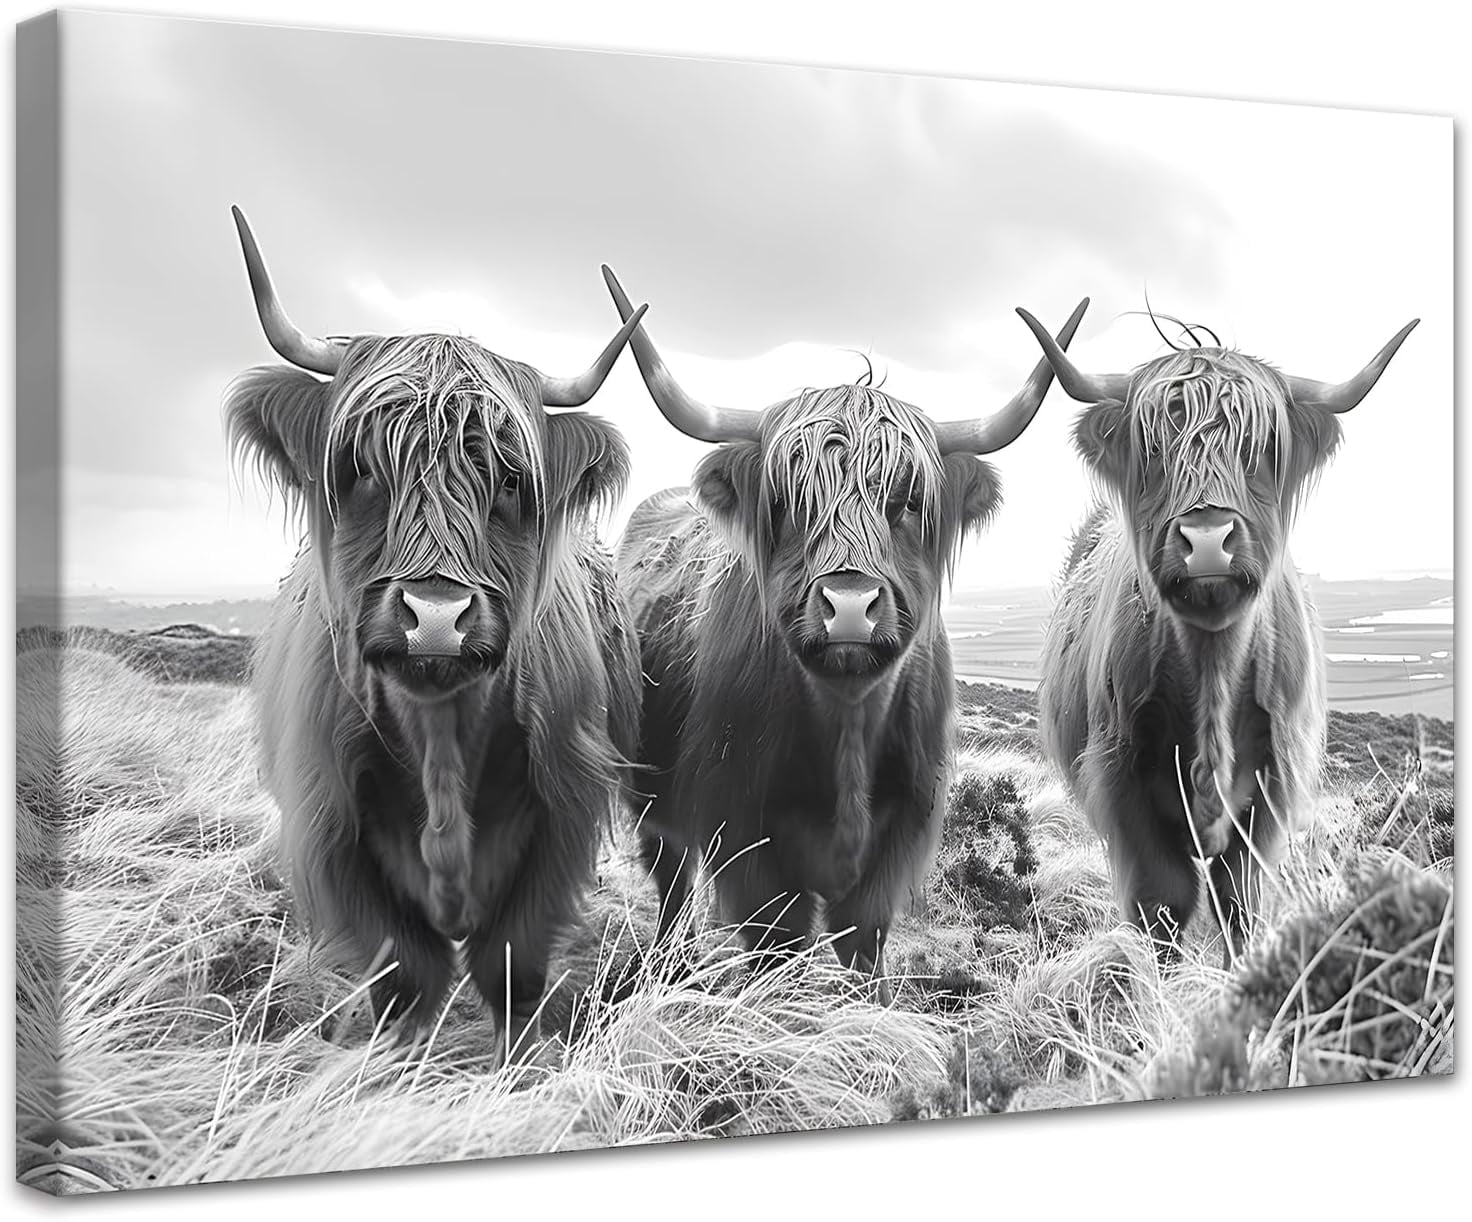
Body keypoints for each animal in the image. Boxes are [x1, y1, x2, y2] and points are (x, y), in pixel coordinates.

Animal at [223, 208, 647, 1052]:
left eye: (509, 479)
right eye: (361, 467)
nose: (436, 617)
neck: (441, 736)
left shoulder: (563, 812)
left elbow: (512, 966)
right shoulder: (329, 825)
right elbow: (403, 976)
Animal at [603, 266, 1088, 1000]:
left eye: (909, 500)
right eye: (784, 502)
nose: (851, 605)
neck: (849, 725)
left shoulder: (897, 844)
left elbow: (864, 950)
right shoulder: (746, 845)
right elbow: (776, 952)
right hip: (650, 797)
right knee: (671, 878)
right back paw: (669, 965)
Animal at [1019, 307, 1419, 959]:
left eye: (1263, 446)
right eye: (1153, 446)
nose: (1207, 539)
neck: (1211, 671)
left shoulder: (1273, 787)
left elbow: (1239, 902)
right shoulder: (1123, 784)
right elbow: (1161, 904)